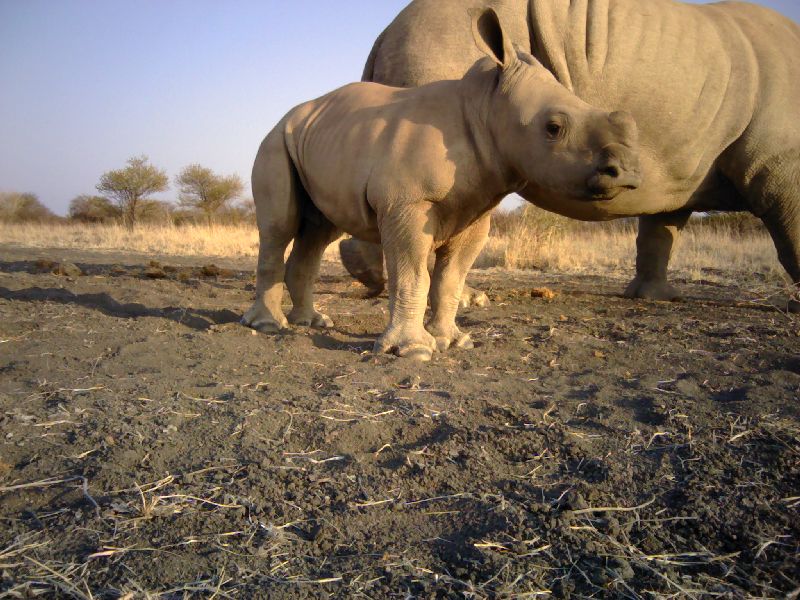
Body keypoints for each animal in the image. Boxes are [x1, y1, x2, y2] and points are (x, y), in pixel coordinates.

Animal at [242, 9, 641, 360]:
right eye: (554, 128)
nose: (628, 172)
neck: (485, 107)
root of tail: (288, 117)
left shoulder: (477, 207)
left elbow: (451, 279)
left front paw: (453, 341)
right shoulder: (407, 204)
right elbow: (411, 275)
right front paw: (414, 351)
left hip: (319, 141)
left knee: (320, 230)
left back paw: (313, 323)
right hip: (275, 142)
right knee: (279, 226)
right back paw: (269, 326)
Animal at [340, 0, 800, 312]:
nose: (627, 172)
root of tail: (385, 32)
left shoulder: (680, 165)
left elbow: (661, 227)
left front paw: (653, 297)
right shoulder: (777, 163)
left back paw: (373, 279)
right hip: (442, 44)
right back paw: (469, 299)